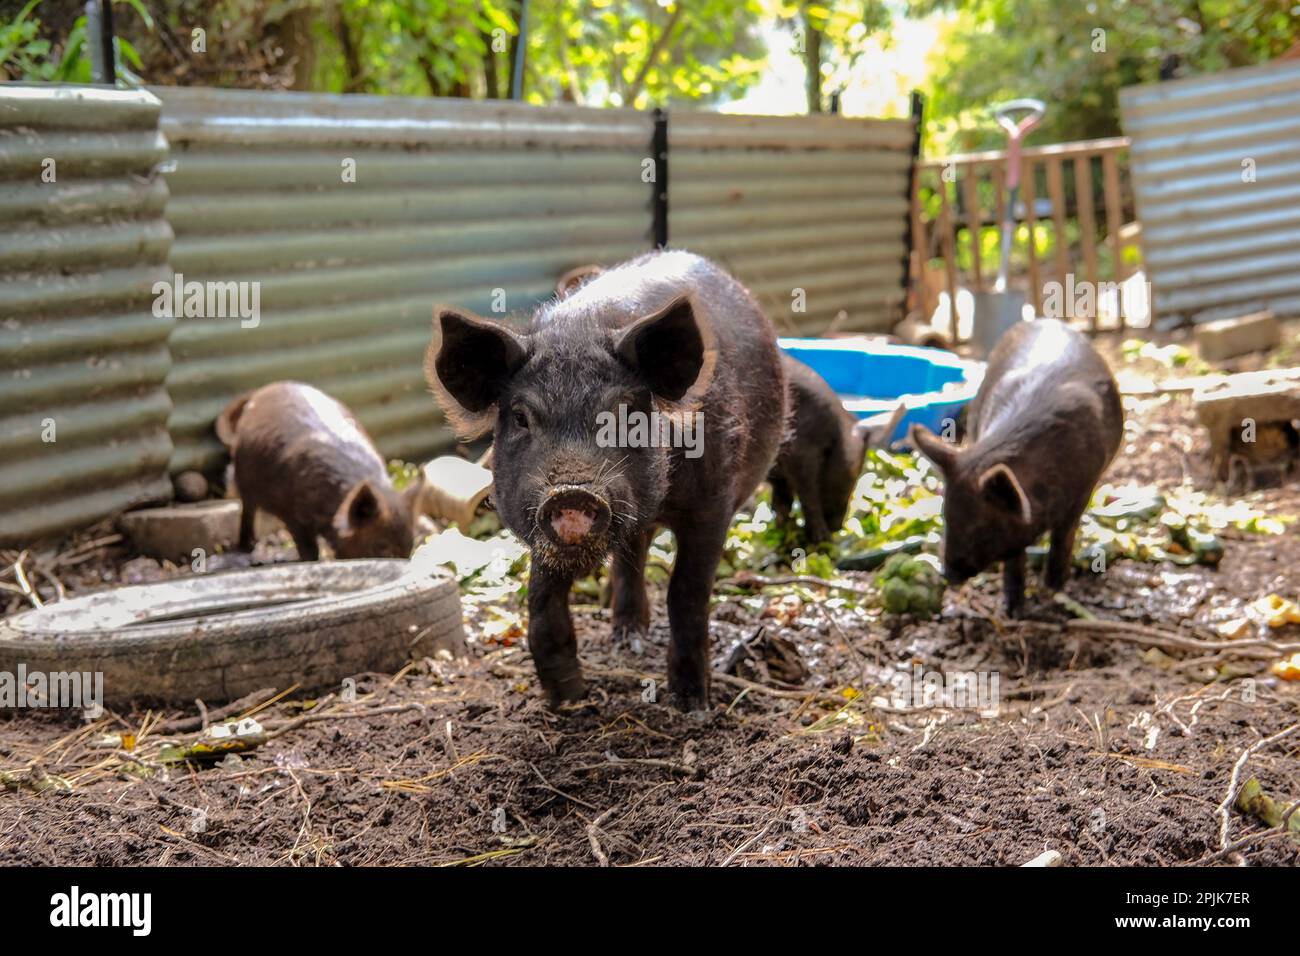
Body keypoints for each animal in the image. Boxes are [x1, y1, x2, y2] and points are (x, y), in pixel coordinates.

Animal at [216, 382, 422, 561]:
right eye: (382, 548)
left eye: (410, 546)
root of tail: (266, 389)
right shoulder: (292, 513)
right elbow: (308, 548)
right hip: (243, 476)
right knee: (248, 508)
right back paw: (247, 547)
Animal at [425, 250, 787, 710]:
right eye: (521, 417)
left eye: (625, 414)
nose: (571, 492)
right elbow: (540, 596)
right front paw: (567, 697)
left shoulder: (714, 503)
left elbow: (686, 593)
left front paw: (692, 705)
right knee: (631, 557)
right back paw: (626, 639)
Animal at [908, 319, 1123, 617]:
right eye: (946, 517)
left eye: (981, 529)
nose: (947, 575)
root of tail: (1043, 320)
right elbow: (1013, 556)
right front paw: (1011, 612)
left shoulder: (1084, 488)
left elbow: (1062, 536)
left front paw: (1052, 589)